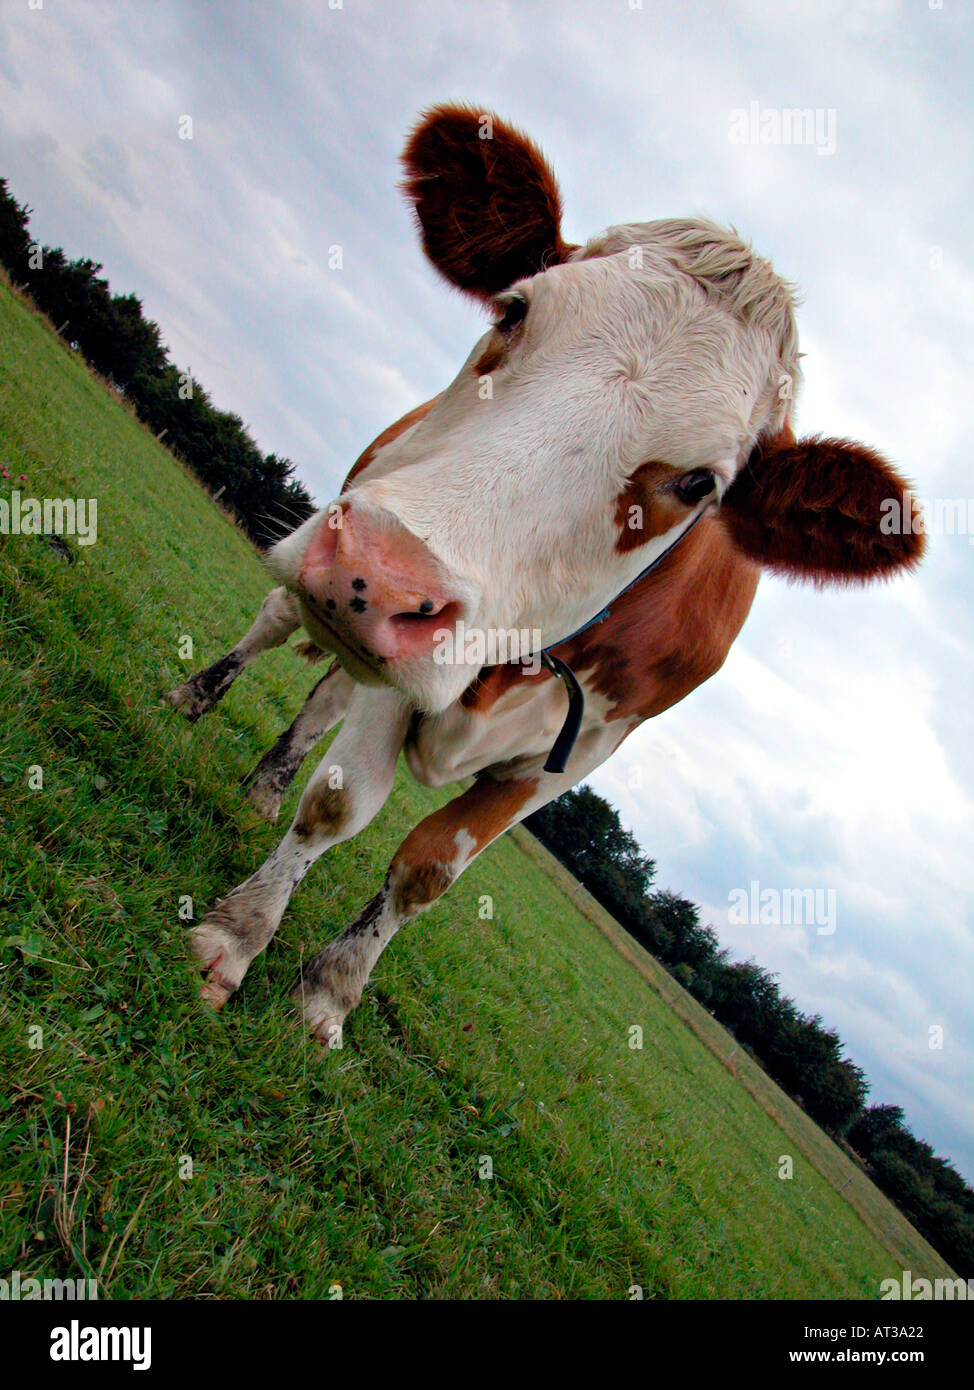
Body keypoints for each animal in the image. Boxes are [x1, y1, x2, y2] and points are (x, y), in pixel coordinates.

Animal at [169, 103, 924, 1048]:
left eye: (699, 485)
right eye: (515, 308)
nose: (375, 572)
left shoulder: (574, 756)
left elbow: (426, 873)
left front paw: (329, 997)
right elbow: (341, 803)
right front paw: (235, 941)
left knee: (327, 692)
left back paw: (266, 789)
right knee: (280, 623)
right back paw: (200, 701)